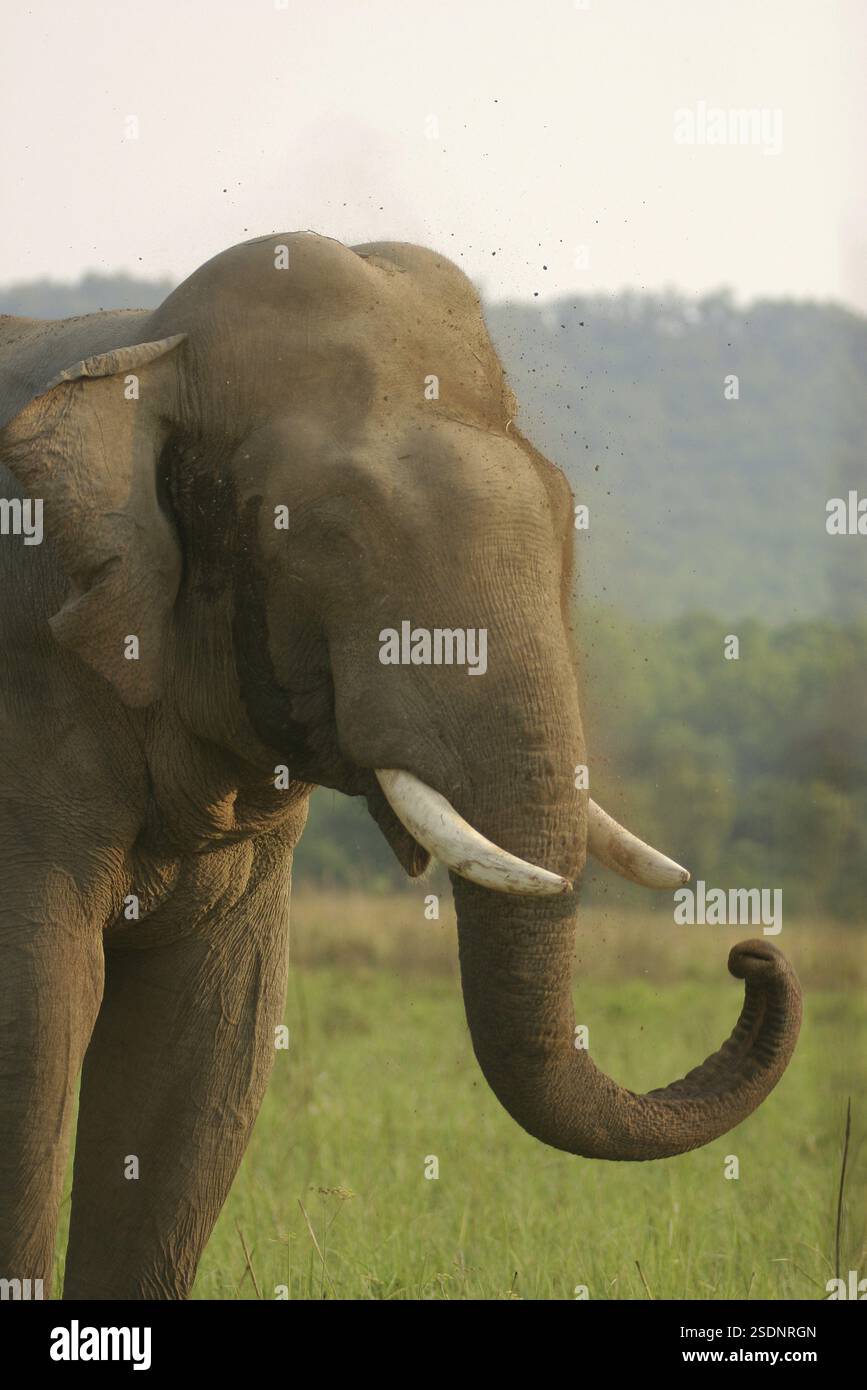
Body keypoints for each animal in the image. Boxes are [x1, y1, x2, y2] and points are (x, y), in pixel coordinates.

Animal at [0, 232, 801, 1300]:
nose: (751, 953)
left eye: (567, 519)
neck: (144, 348)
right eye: (332, 536)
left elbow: (209, 1054)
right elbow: (35, 1030)